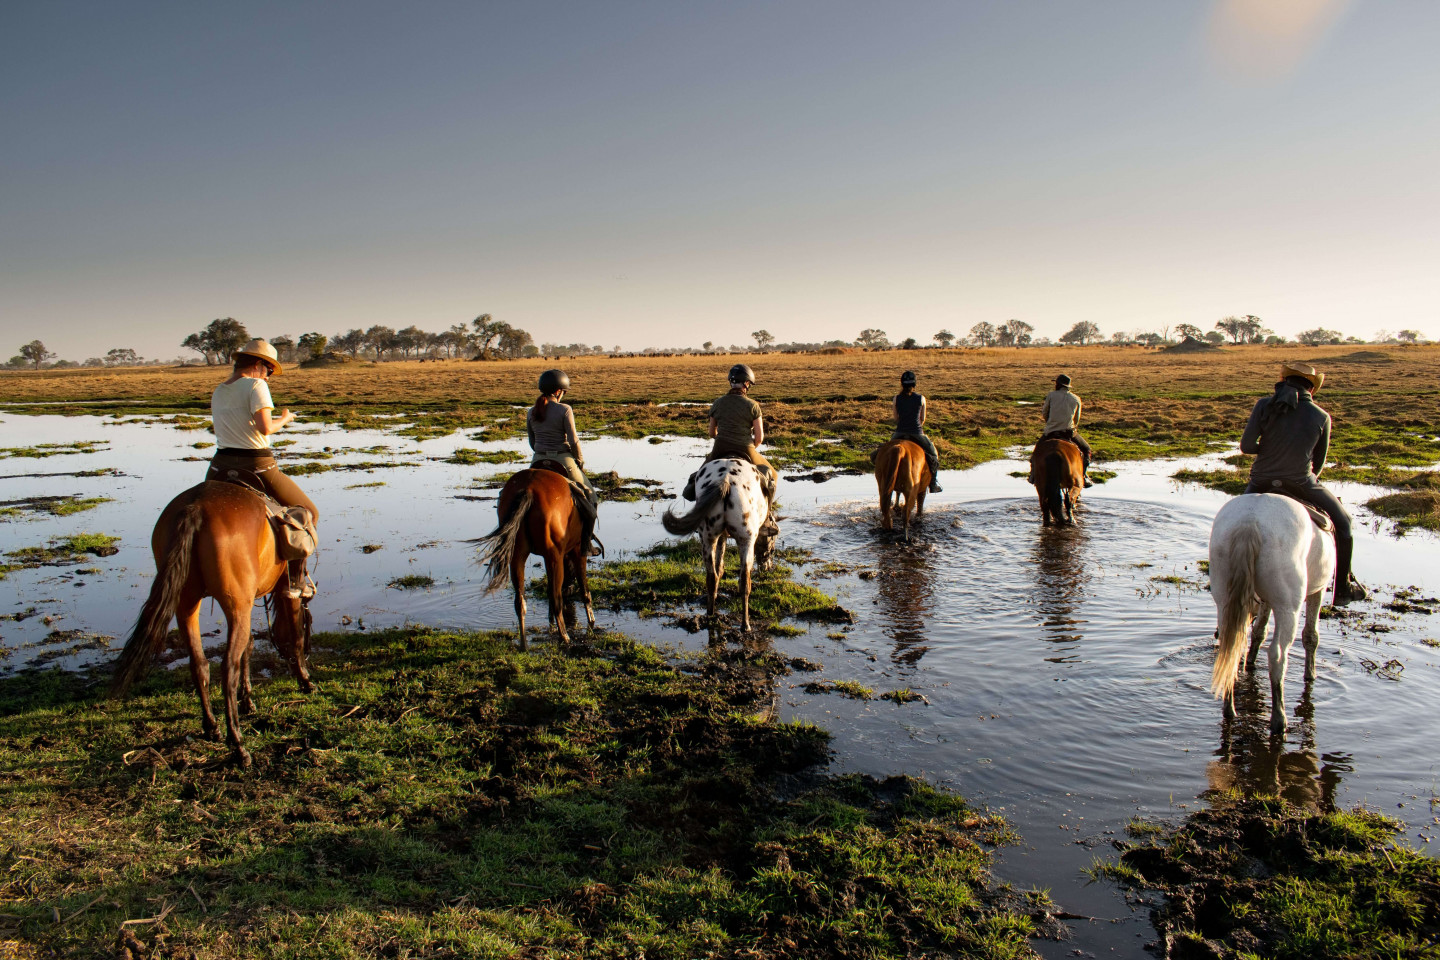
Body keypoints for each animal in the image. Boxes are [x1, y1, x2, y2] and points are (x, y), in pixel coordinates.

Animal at [110, 481, 315, 767]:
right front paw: (305, 681)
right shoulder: (282, 591)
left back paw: (212, 727)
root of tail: (195, 507)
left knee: (199, 664)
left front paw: (247, 701)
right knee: (227, 667)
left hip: (187, 604)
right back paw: (238, 744)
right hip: (235, 606)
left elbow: (248, 648)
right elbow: (292, 637)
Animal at [473, 468, 595, 649]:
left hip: (518, 555)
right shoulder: (577, 551)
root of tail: (528, 489)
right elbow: (584, 589)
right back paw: (565, 637)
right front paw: (591, 620)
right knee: (556, 598)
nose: (569, 587)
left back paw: (524, 644)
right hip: (554, 556)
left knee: (520, 601)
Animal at [662, 458, 778, 632]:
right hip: (746, 539)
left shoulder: (720, 536)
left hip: (707, 538)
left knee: (711, 577)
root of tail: (726, 481)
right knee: (745, 582)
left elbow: (719, 561)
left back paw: (710, 614)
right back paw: (745, 625)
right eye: (771, 545)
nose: (768, 567)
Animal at [1208, 493, 1336, 735]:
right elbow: (1311, 636)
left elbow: (1259, 631)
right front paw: (1310, 674)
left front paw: (1251, 660)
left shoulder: (1264, 601)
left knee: (1230, 649)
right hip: (1288, 607)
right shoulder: (1319, 590)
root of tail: (1249, 522)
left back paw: (1230, 709)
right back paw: (1279, 720)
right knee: (1277, 656)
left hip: (1224, 600)